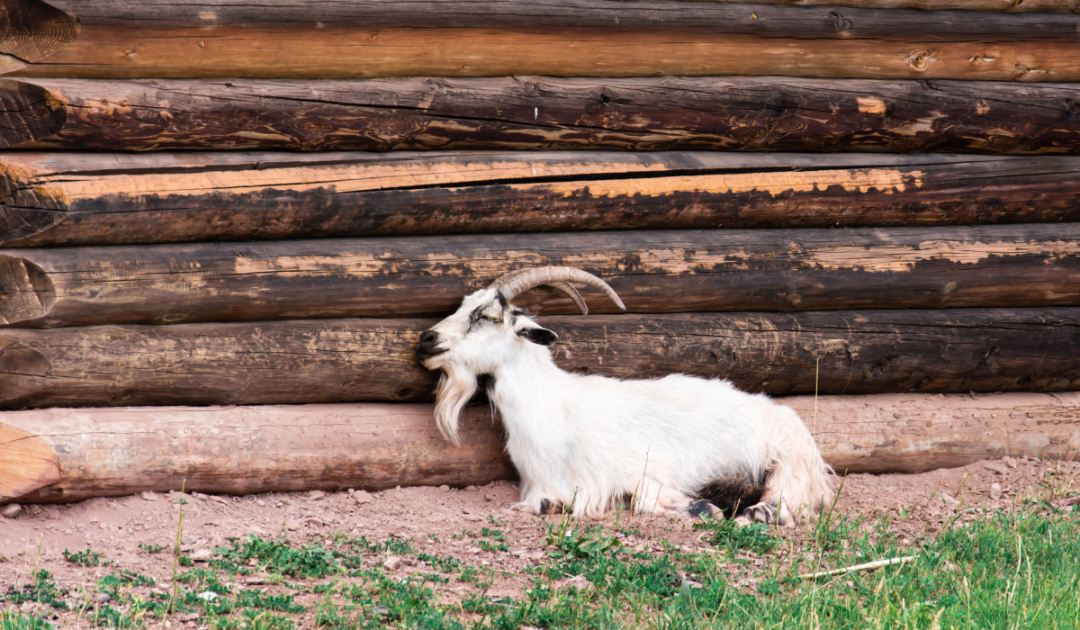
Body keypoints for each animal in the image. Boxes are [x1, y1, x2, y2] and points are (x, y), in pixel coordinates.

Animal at [416, 267, 832, 524]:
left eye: (487, 316)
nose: (426, 340)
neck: (552, 408)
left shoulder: (647, 467)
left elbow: (645, 499)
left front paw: (699, 506)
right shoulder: (545, 489)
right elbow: (548, 504)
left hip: (786, 461)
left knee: (786, 501)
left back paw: (753, 511)